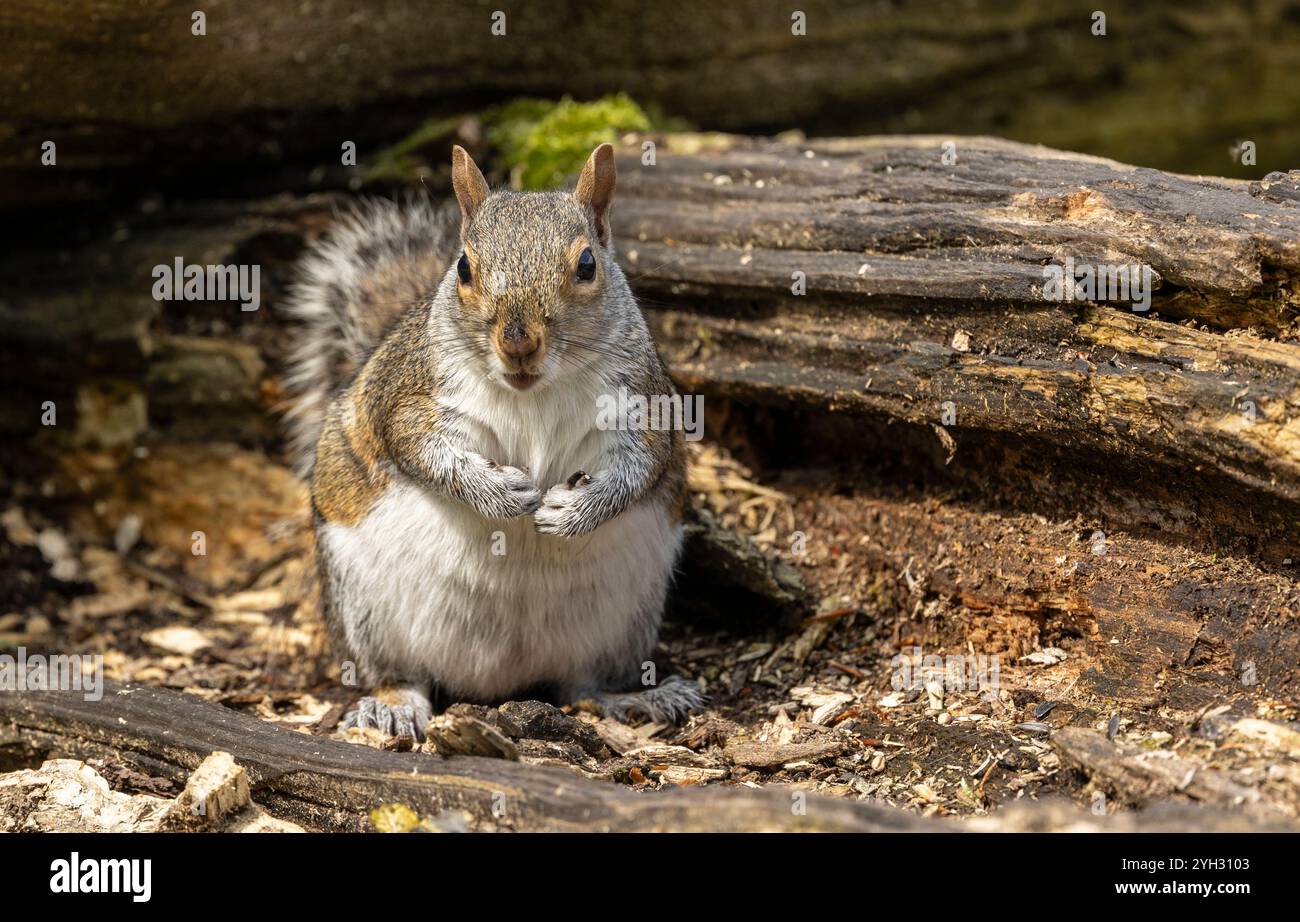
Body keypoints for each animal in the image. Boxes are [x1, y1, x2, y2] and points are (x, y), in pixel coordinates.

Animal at [283, 143, 703, 738]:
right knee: (398, 673)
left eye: (587, 265)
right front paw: (499, 494)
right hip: (363, 607)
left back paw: (633, 699)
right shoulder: (409, 397)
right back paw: (392, 704)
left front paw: (576, 511)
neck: (532, 393)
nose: (518, 342)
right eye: (463, 266)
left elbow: (640, 468)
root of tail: (496, 681)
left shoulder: (640, 407)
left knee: (583, 685)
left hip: (621, 623)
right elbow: (421, 448)